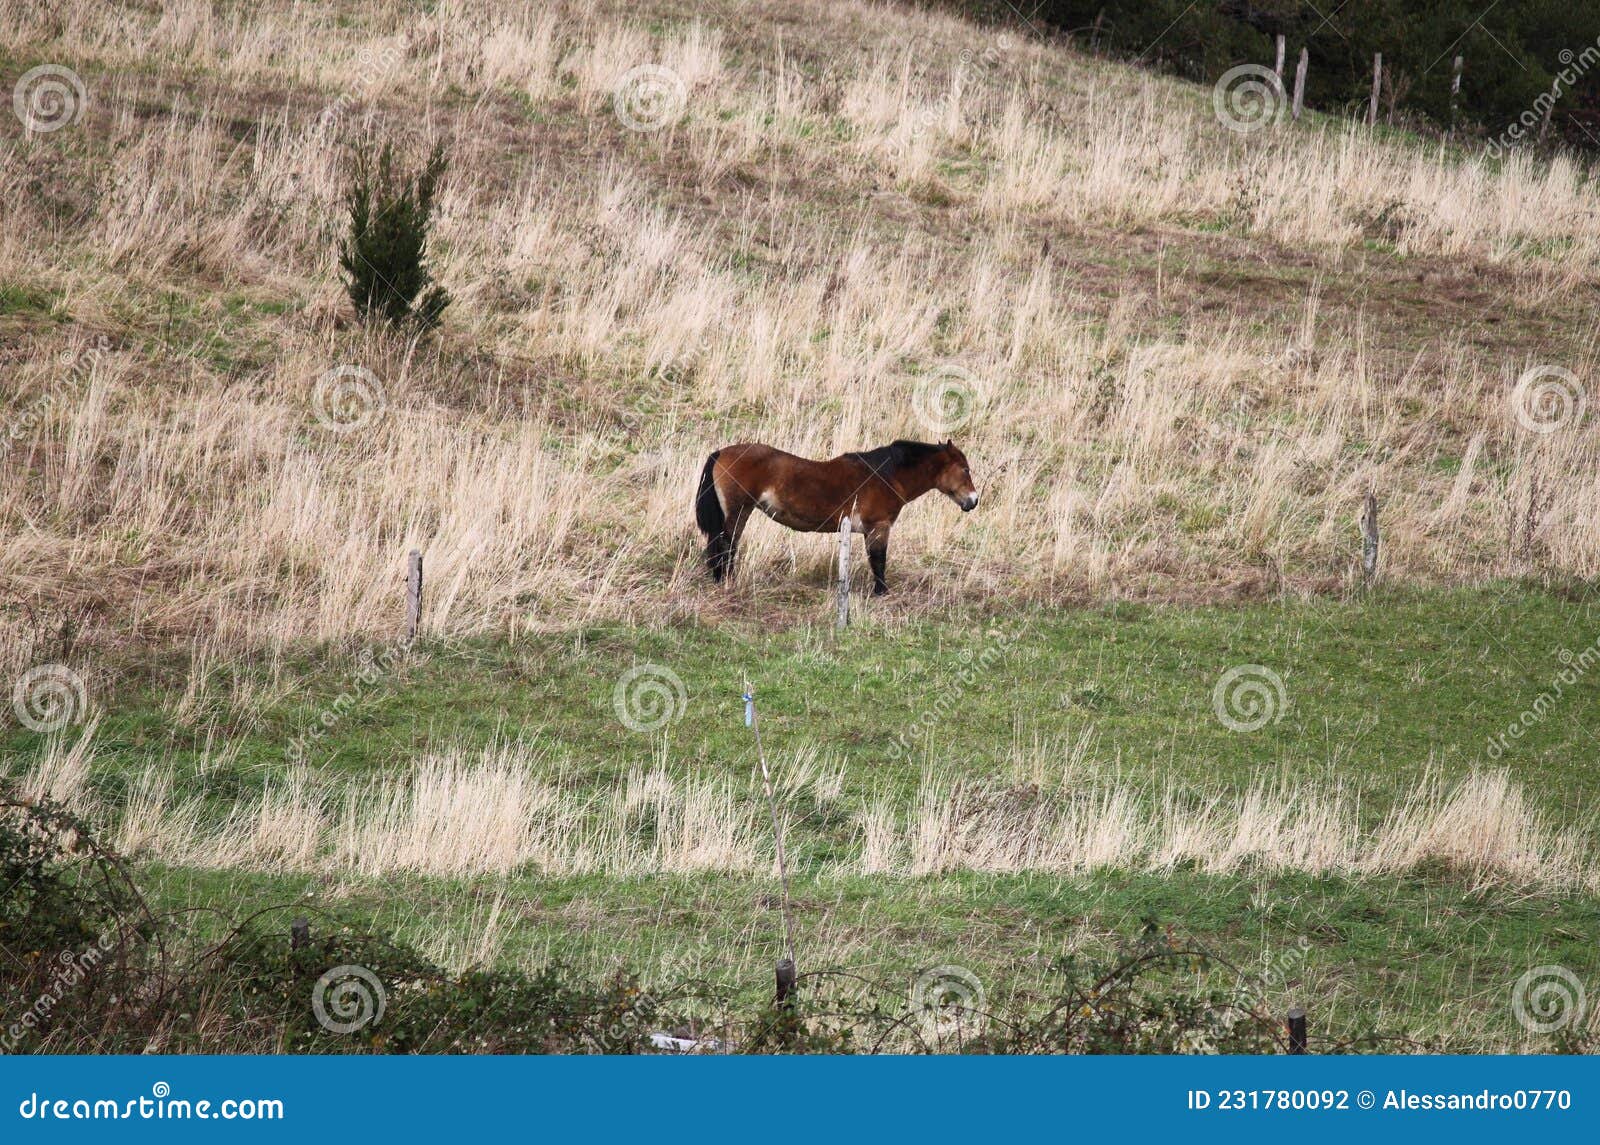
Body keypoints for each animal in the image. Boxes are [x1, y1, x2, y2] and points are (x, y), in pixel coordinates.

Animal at [694, 439, 978, 594]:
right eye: (965, 469)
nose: (973, 501)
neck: (886, 475)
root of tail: (721, 452)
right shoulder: (879, 527)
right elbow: (879, 561)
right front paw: (881, 592)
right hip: (737, 511)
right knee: (725, 545)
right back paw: (725, 580)